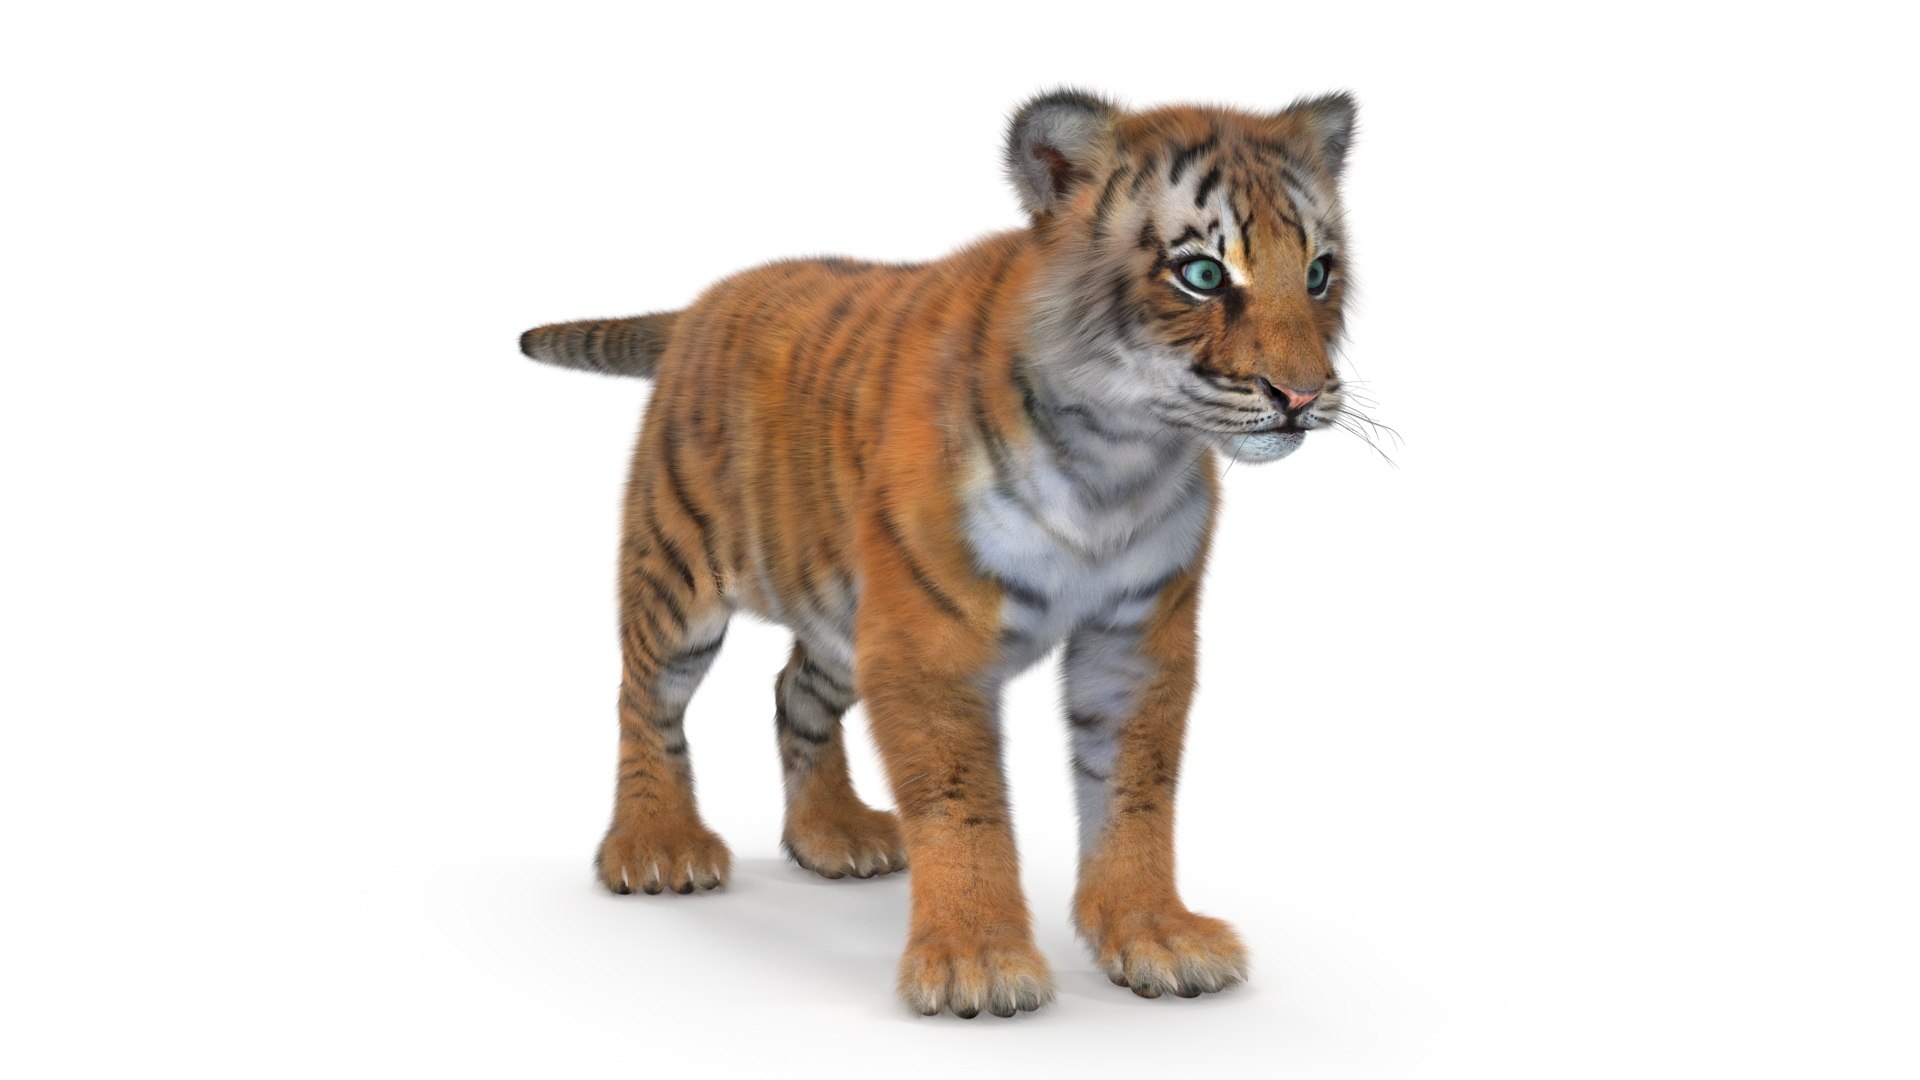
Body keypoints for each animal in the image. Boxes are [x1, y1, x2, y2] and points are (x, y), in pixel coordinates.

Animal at [519, 88, 1362, 1018]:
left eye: (1318, 272)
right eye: (1204, 275)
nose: (1303, 396)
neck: (1118, 456)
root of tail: (704, 301)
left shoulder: (1137, 637)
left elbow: (1136, 792)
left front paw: (1154, 935)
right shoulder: (928, 642)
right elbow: (963, 804)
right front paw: (978, 962)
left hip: (842, 611)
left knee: (794, 692)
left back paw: (833, 834)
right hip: (681, 578)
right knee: (644, 700)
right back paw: (655, 844)